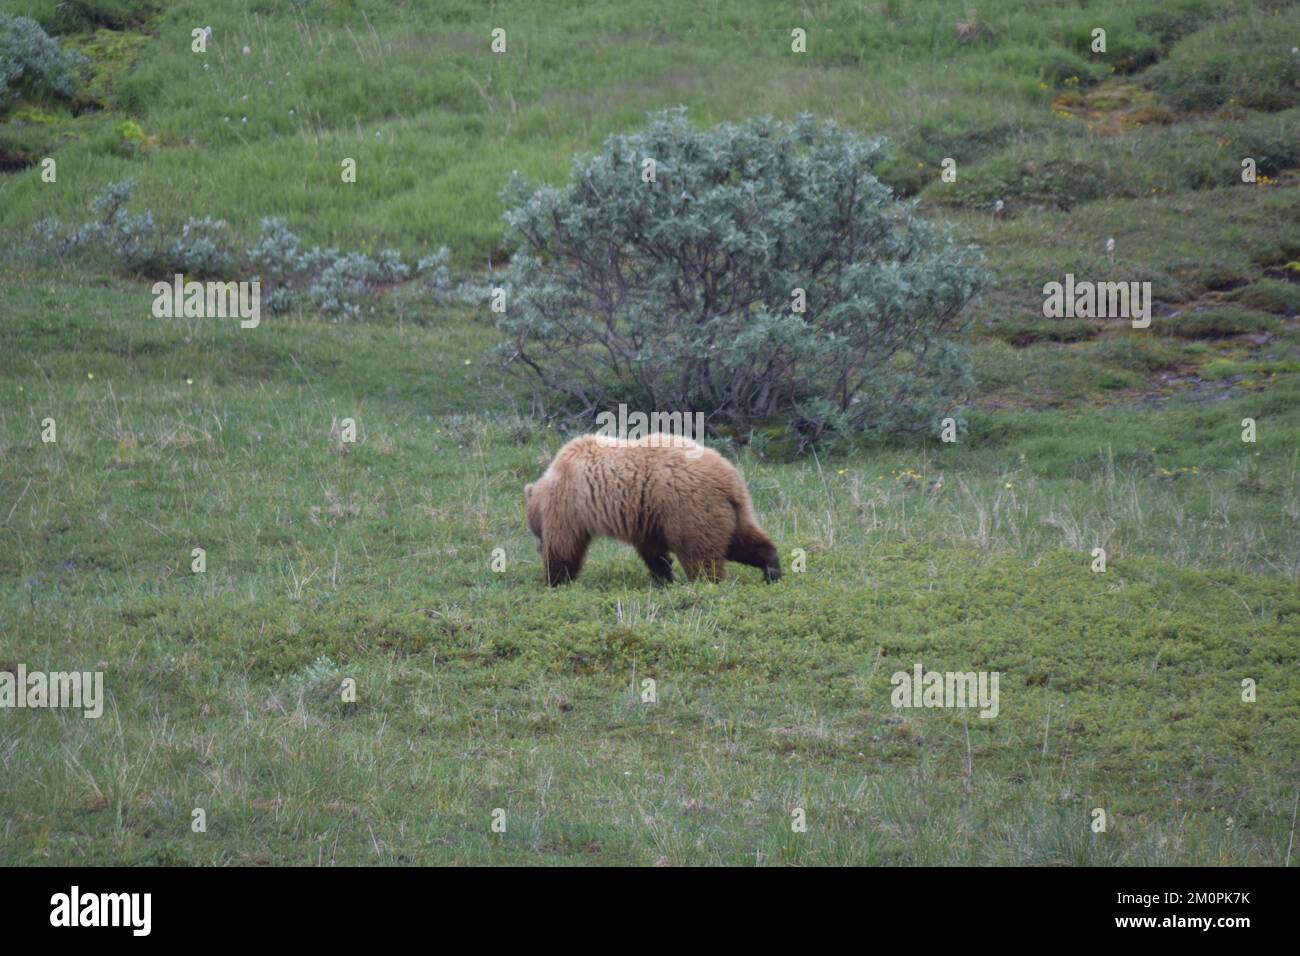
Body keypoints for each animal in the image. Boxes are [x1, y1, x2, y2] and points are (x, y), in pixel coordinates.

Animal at [525, 433, 781, 586]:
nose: (537, 546)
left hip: (690, 508)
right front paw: (664, 577)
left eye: (535, 529)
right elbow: (653, 551)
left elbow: (564, 544)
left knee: (700, 553)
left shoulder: (569, 503)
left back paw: (706, 582)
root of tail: (729, 479)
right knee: (742, 540)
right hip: (728, 510)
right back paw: (772, 569)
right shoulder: (645, 515)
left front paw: (555, 579)